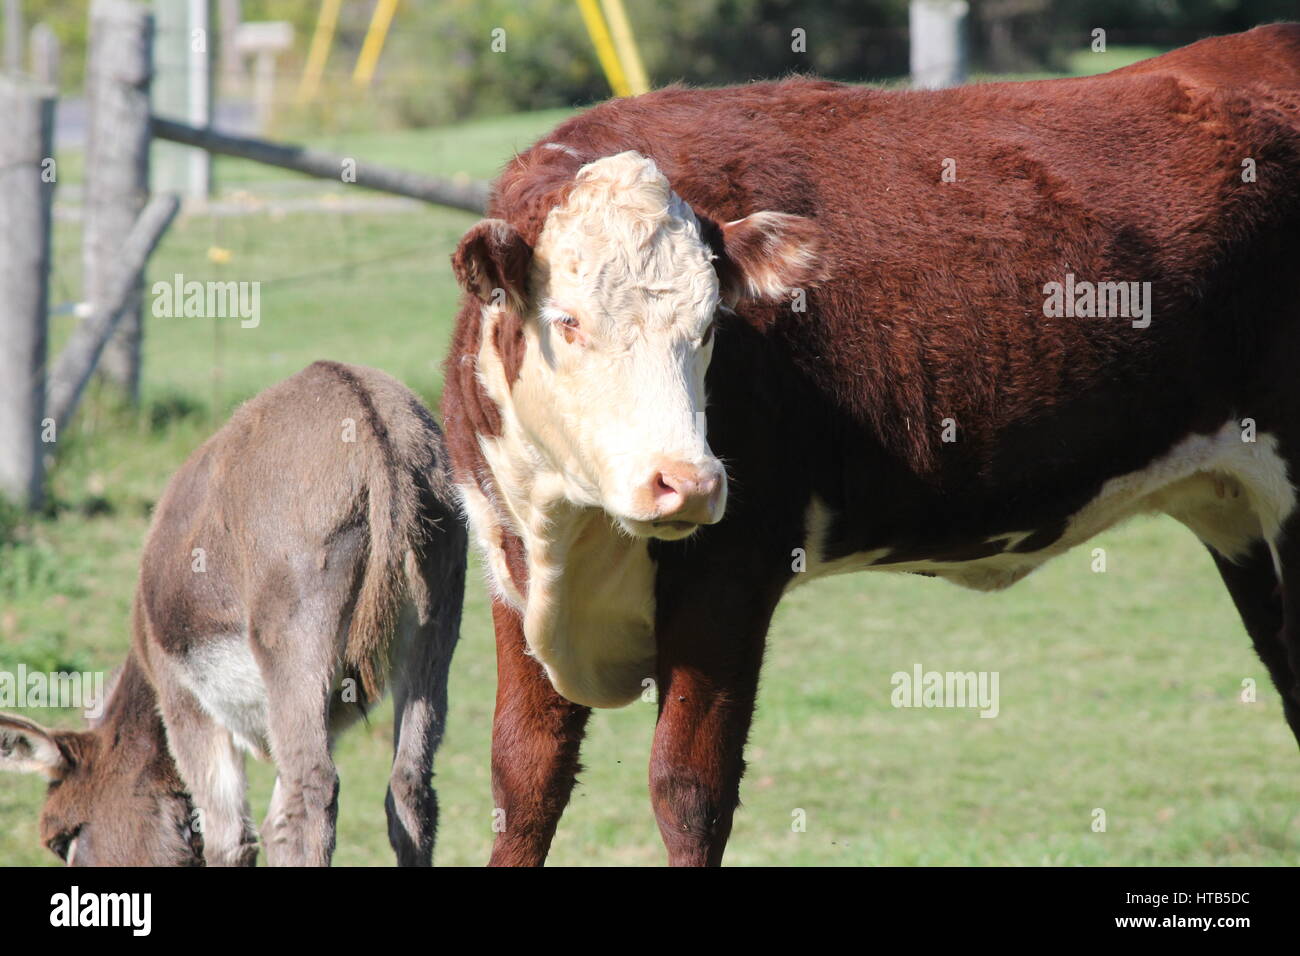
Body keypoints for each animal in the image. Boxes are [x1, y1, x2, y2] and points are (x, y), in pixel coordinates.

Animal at [0, 362, 467, 866]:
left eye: (62, 840)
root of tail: (375, 426)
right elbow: (273, 825)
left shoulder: (182, 698)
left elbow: (231, 837)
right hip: (433, 631)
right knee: (409, 789)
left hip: (295, 649)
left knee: (313, 792)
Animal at [441, 23, 1300, 866]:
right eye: (567, 322)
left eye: (712, 324)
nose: (686, 482)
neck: (575, 529)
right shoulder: (511, 565)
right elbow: (523, 782)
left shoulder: (731, 574)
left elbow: (687, 791)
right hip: (1238, 515)